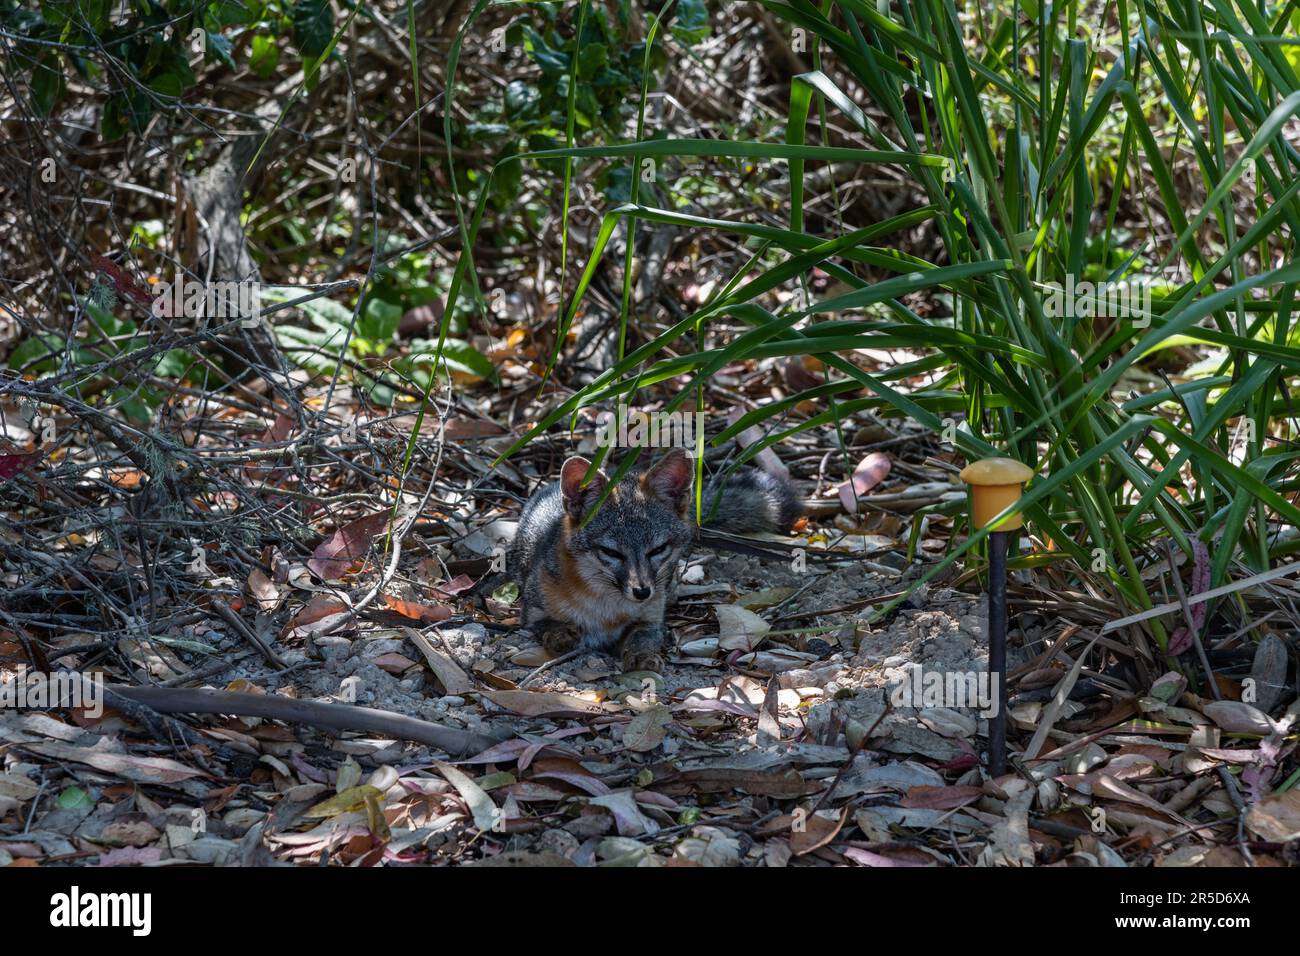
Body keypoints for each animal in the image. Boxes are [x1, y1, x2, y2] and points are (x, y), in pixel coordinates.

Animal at [509, 448, 800, 673]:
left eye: (657, 549)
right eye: (612, 552)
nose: (642, 592)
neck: (606, 609)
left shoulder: (650, 619)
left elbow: (643, 636)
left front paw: (642, 654)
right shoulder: (531, 610)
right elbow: (547, 623)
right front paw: (562, 633)